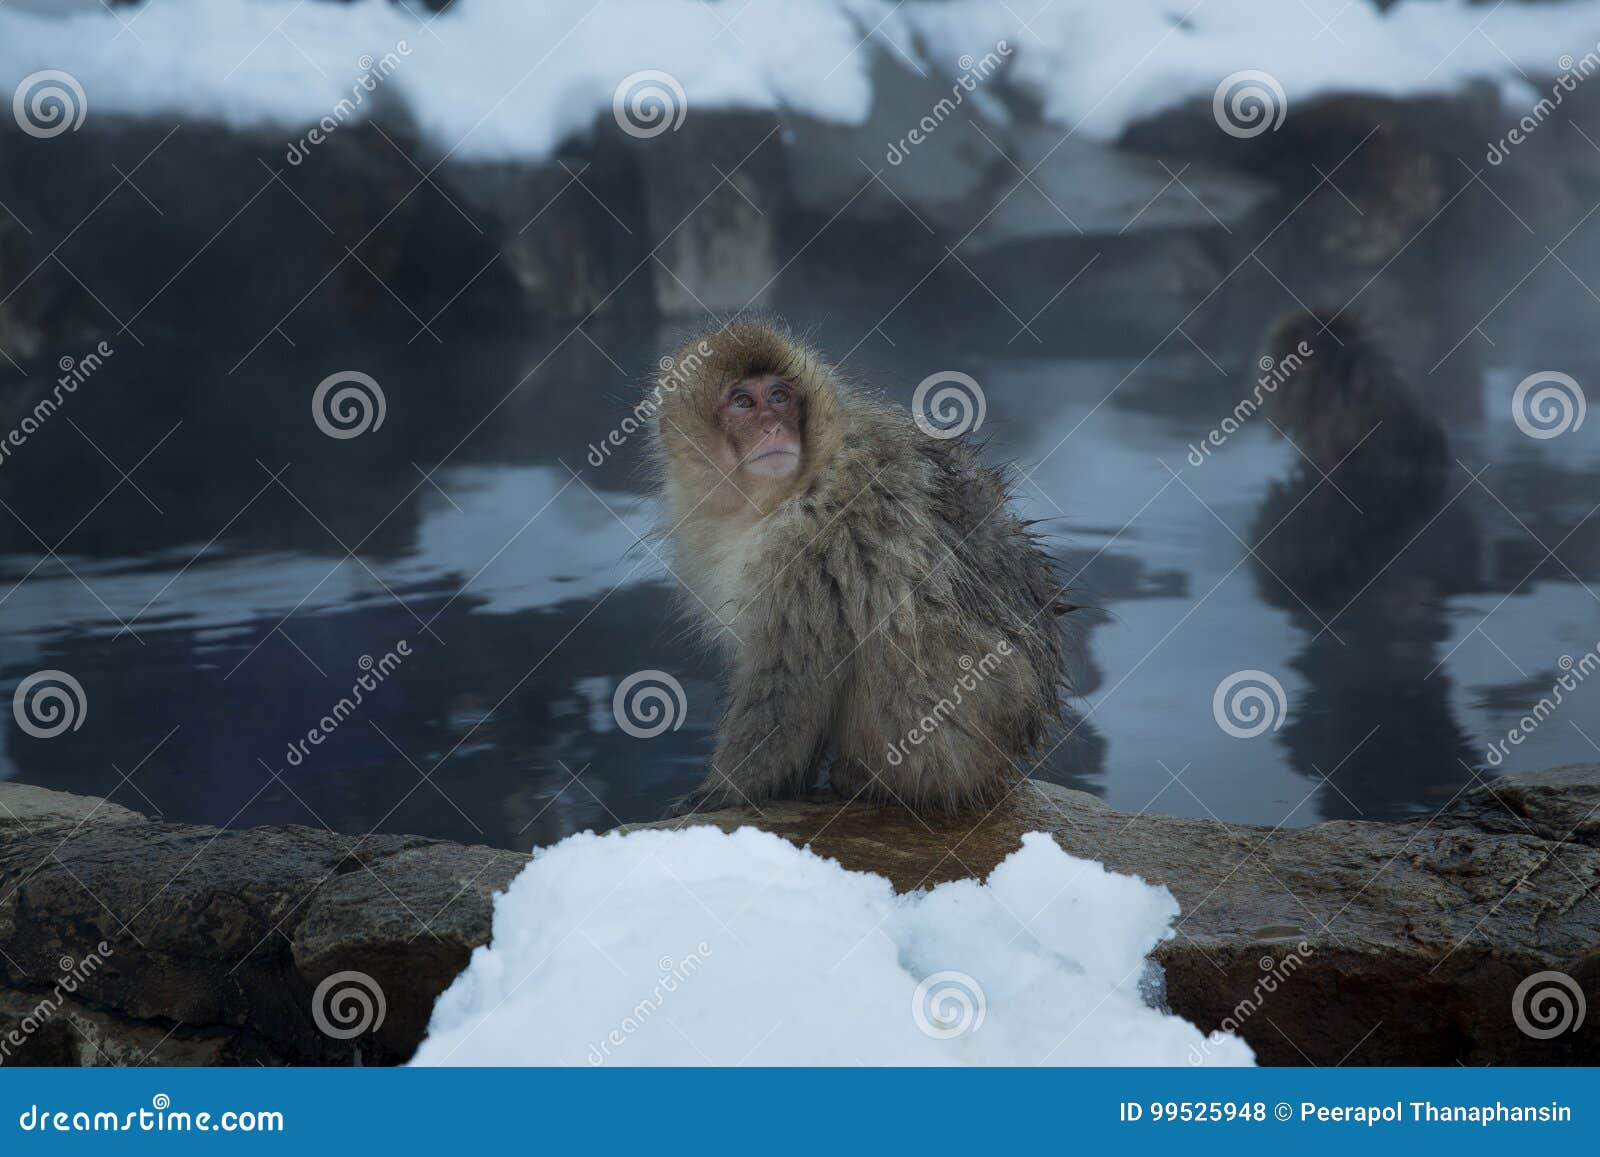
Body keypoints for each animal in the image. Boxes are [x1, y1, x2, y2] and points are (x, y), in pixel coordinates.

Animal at [647, 320, 1068, 817]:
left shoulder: (812, 543)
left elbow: (787, 683)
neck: (778, 497)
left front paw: (725, 791)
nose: (772, 426)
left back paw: (867, 780)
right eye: (743, 402)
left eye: (779, 395)